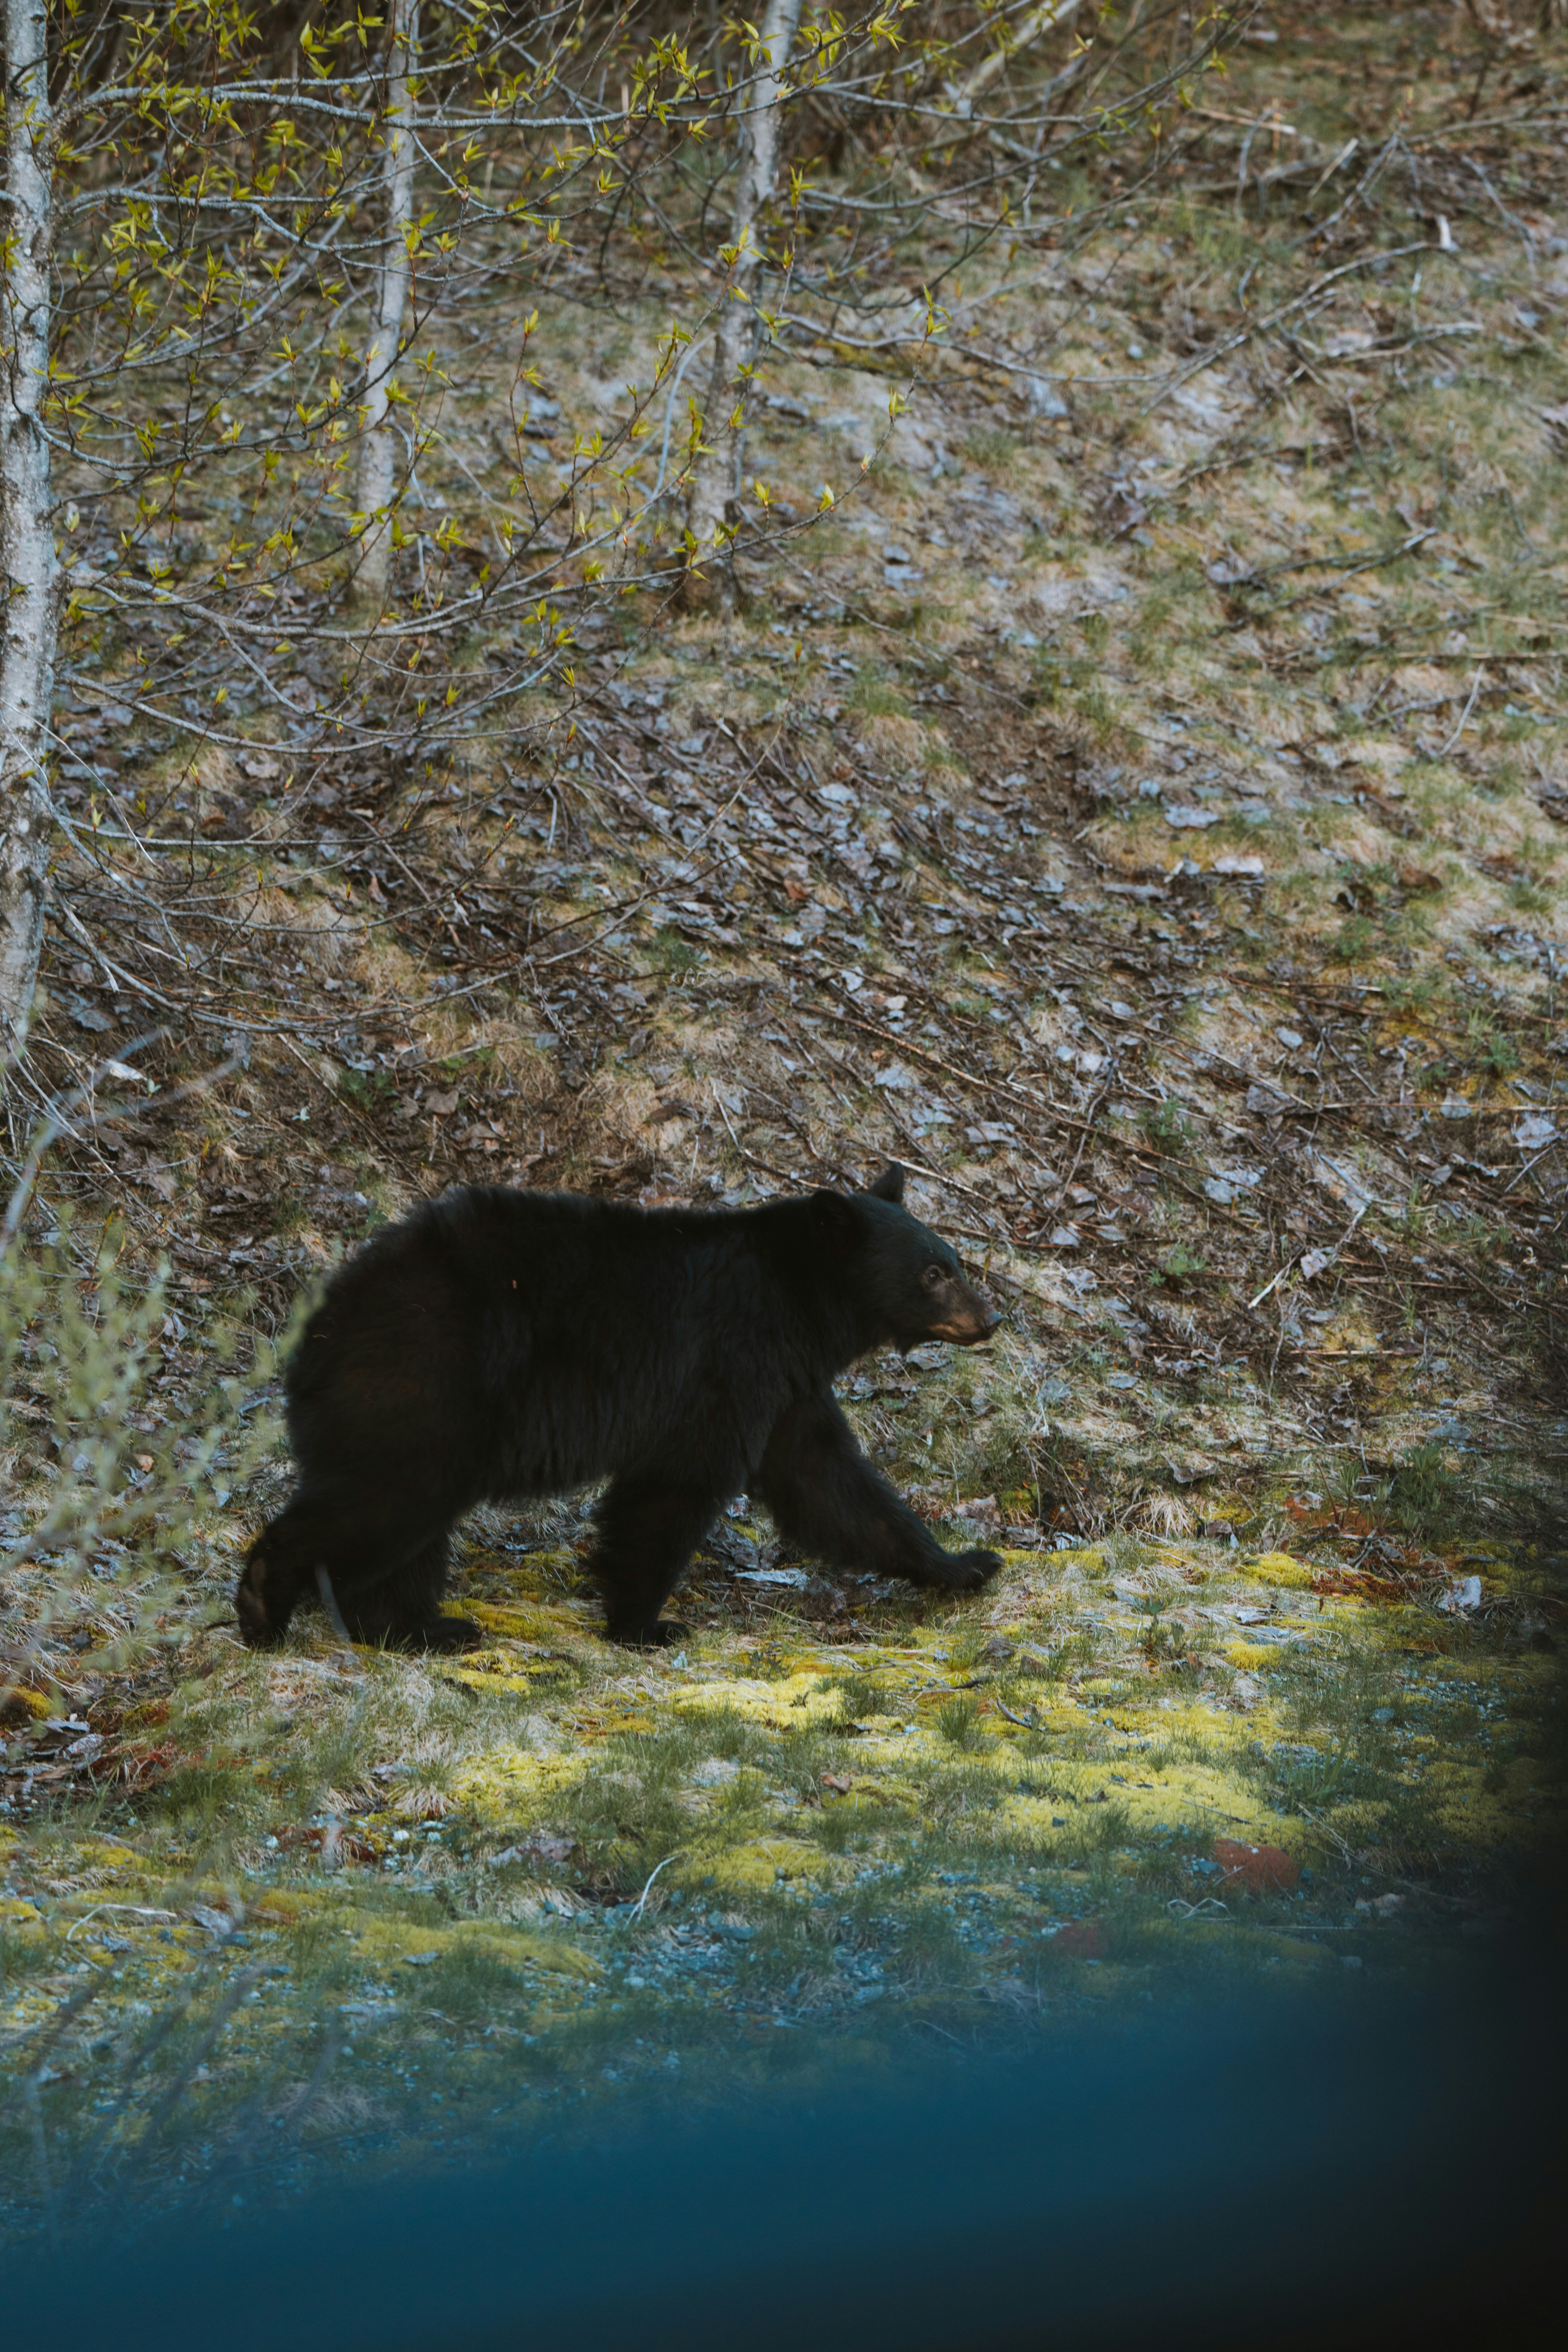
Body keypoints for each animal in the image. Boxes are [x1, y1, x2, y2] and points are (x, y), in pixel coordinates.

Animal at [235, 1163, 1002, 1653]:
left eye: (953, 1259)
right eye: (933, 1271)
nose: (991, 1317)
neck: (796, 1304)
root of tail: (316, 1331)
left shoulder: (785, 1387)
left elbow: (832, 1485)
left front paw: (964, 1564)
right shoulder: (724, 1363)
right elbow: (674, 1487)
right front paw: (644, 1626)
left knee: (404, 1530)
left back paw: (423, 1629)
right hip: (424, 1388)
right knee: (380, 1504)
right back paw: (266, 1605)